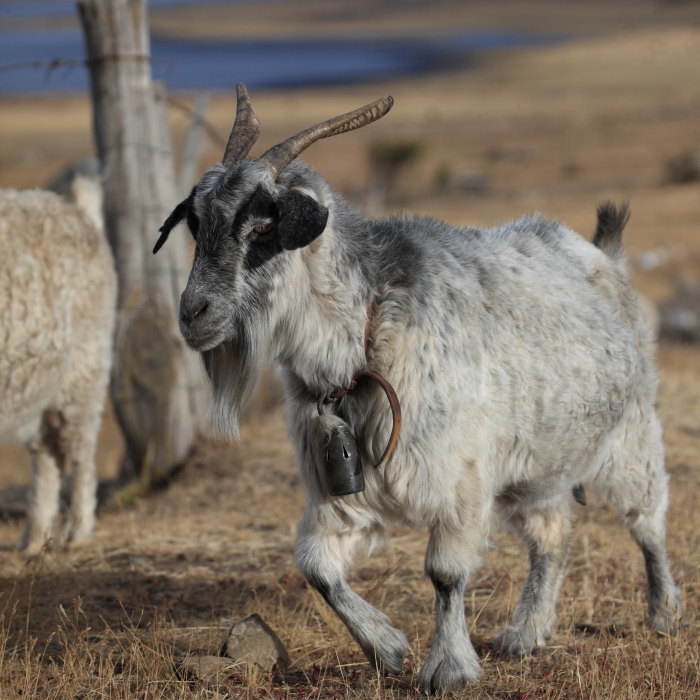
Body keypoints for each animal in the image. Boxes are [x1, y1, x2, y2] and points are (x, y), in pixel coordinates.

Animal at [0, 179, 116, 553]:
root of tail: (77, 209)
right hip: (41, 393)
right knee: (46, 459)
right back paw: (34, 540)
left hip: (85, 371)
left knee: (82, 457)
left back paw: (77, 533)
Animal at [155, 85, 681, 694]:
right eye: (197, 224)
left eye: (262, 226)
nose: (194, 313)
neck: (366, 329)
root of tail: (606, 260)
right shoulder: (338, 490)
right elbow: (316, 569)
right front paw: (386, 647)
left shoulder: (461, 482)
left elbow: (445, 574)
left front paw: (447, 667)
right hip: (538, 467)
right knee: (552, 535)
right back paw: (526, 633)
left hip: (632, 436)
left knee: (648, 522)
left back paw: (664, 613)